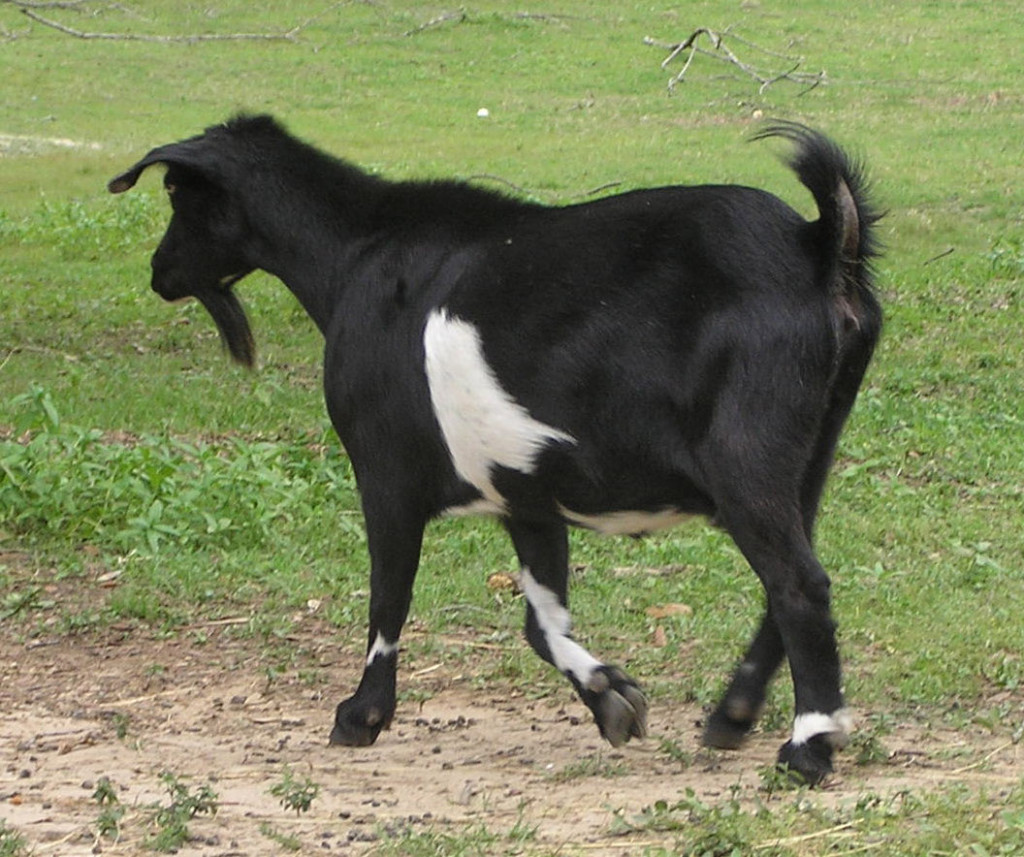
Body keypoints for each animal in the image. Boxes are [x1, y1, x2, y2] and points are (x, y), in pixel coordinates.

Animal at [109, 115, 881, 784]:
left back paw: (809, 747)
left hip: (747, 453)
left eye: (177, 193)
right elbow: (541, 620)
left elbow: (388, 597)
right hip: (811, 451)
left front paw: (361, 715)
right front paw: (612, 697)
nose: (158, 271)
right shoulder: (526, 491)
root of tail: (817, 245)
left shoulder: (384, 473)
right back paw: (732, 715)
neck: (358, 254)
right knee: (790, 581)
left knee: (799, 584)